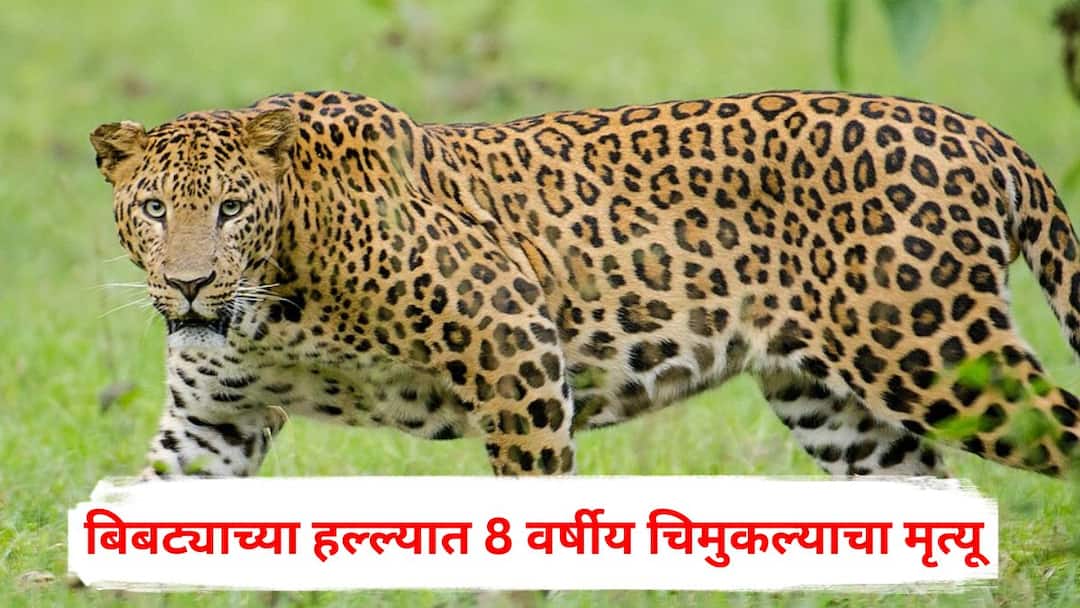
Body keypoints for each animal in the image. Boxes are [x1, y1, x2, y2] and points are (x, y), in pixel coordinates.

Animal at [90, 89, 1080, 480]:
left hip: (940, 356)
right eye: (153, 208)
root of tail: (985, 133)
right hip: (836, 407)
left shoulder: (514, 345)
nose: (187, 286)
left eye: (229, 209)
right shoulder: (211, 424)